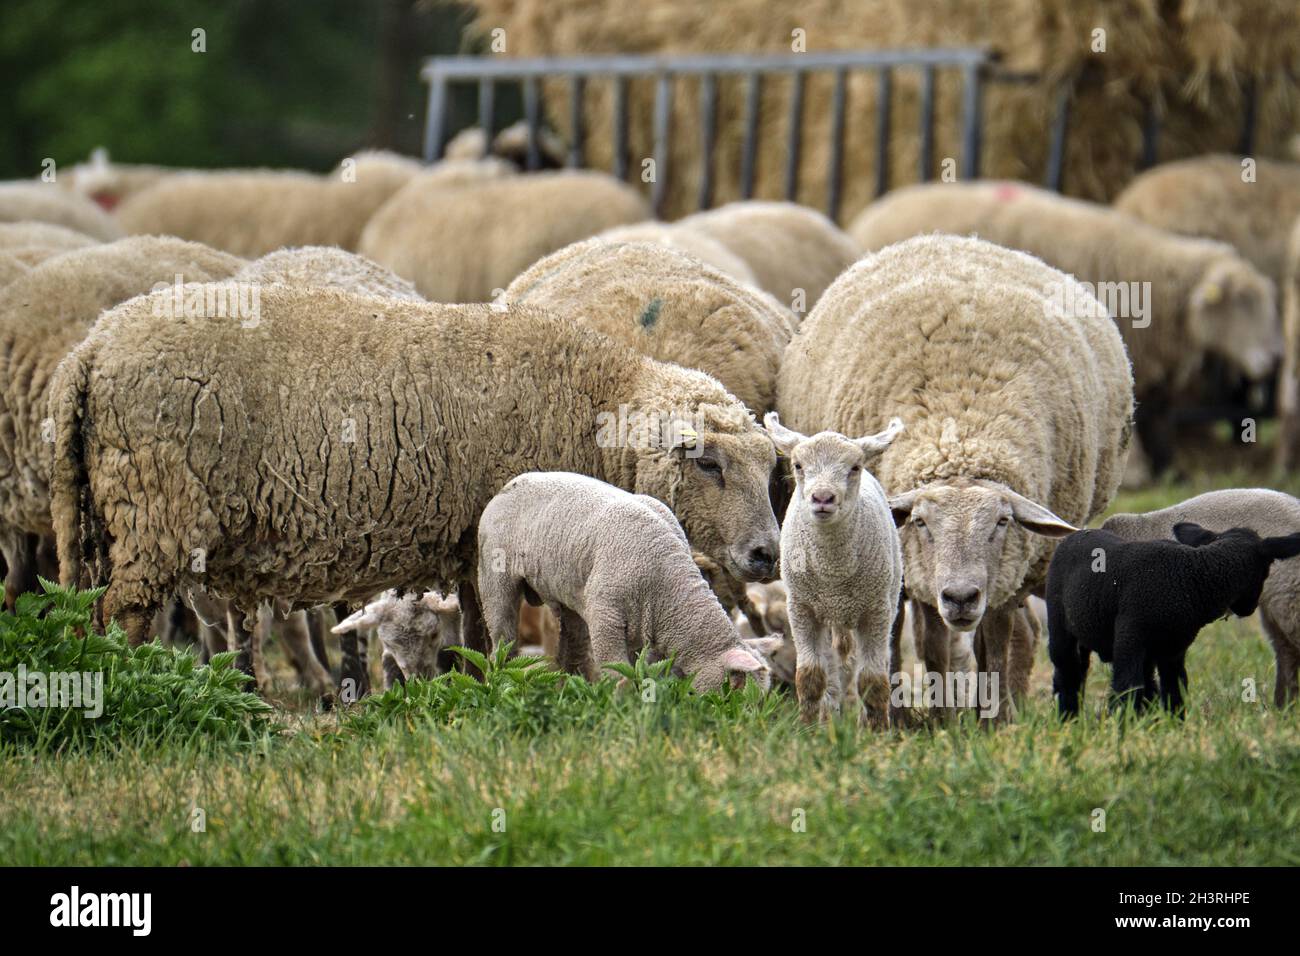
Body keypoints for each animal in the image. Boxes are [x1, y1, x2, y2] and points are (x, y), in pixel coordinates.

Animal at [476, 472, 778, 690]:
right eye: (734, 690)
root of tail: (512, 482)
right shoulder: (605, 617)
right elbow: (617, 673)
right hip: (494, 576)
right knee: (502, 639)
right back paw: (501, 681)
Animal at [763, 413, 905, 727]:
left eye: (855, 467)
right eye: (798, 465)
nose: (823, 498)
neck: (833, 576)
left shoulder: (875, 611)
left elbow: (873, 681)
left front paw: (878, 731)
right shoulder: (801, 609)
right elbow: (810, 677)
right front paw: (806, 728)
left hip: (886, 602)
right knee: (833, 673)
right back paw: (829, 719)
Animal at [777, 234, 1134, 721]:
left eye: (1002, 522)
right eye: (921, 522)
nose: (961, 597)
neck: (960, 432)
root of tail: (954, 239)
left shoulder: (1003, 574)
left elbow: (994, 644)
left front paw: (993, 720)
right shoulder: (916, 573)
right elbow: (928, 645)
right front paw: (935, 718)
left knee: (1020, 630)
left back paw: (1011, 703)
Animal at [847, 181, 1278, 477]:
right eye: (1242, 299)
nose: (1274, 359)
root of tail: (880, 206)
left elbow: (1158, 417)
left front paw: (1171, 470)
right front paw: (1142, 473)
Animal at [1046, 523, 1300, 716]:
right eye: (1266, 570)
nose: (1249, 609)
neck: (1193, 577)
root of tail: (1077, 533)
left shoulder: (1174, 650)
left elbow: (1174, 689)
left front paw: (1174, 726)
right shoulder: (1129, 641)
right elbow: (1127, 687)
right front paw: (1123, 730)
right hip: (1059, 626)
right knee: (1067, 674)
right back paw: (1068, 719)